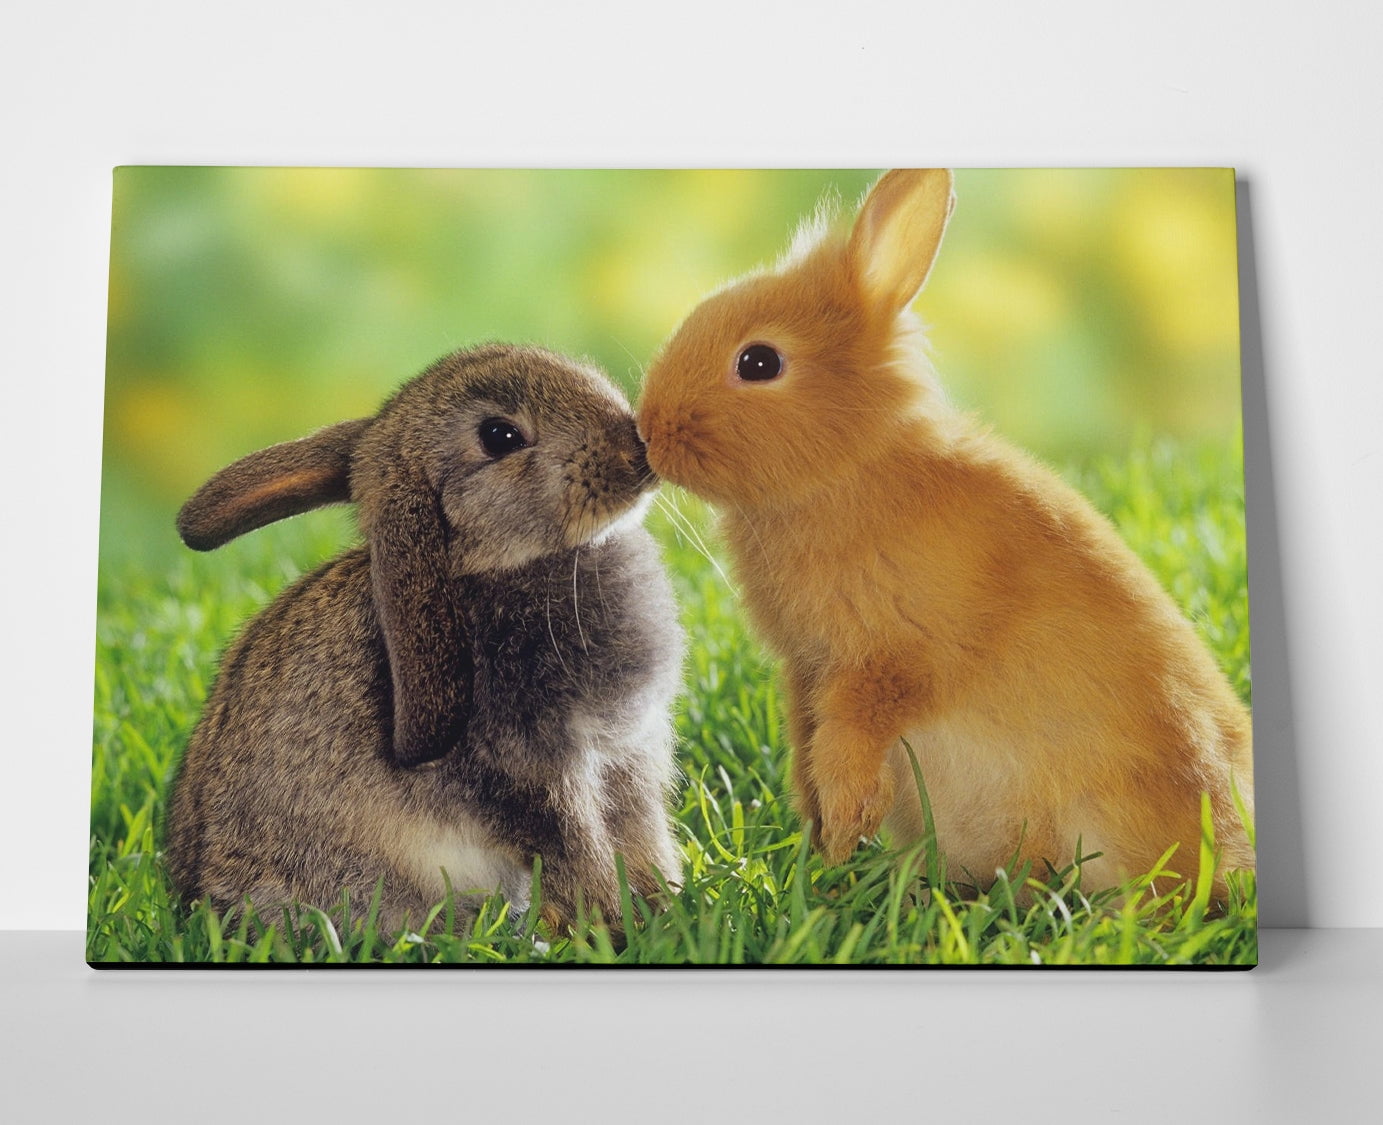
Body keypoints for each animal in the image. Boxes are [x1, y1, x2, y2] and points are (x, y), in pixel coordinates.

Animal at [164, 343, 686, 935]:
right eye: (499, 436)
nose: (635, 449)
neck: (487, 564)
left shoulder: (629, 756)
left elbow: (642, 838)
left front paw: (666, 908)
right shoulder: (532, 771)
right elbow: (578, 851)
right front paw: (618, 926)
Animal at [636, 169, 1254, 903]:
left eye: (758, 362)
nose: (646, 430)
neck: (851, 468)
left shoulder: (889, 662)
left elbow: (848, 741)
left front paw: (842, 833)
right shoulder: (806, 671)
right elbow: (806, 747)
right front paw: (821, 844)